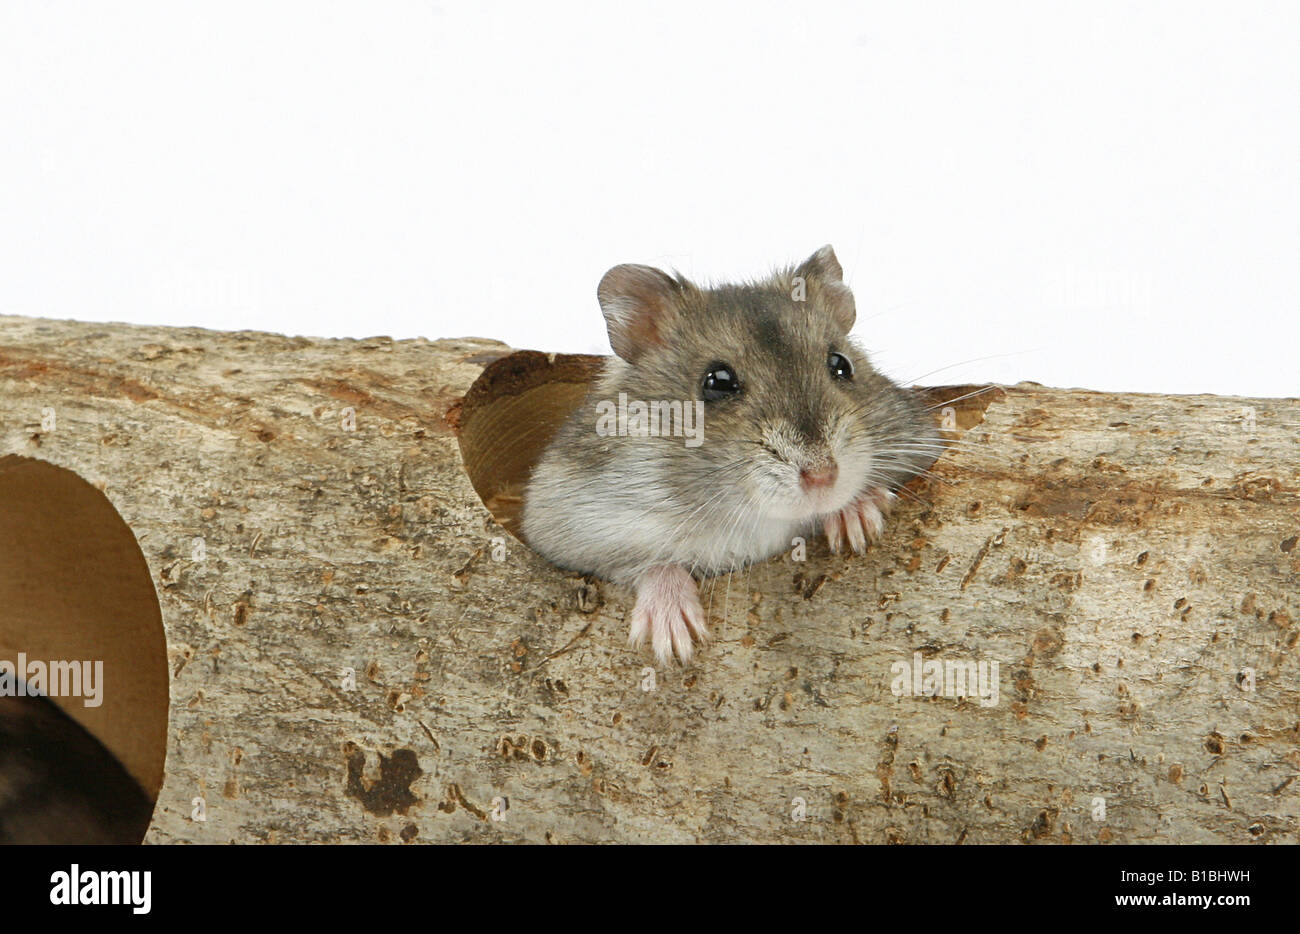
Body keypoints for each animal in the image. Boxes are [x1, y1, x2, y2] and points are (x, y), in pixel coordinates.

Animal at [522, 246, 942, 666]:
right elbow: (647, 565)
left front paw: (856, 521)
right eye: (718, 382)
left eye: (841, 364)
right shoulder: (568, 527)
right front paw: (674, 641)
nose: (823, 477)